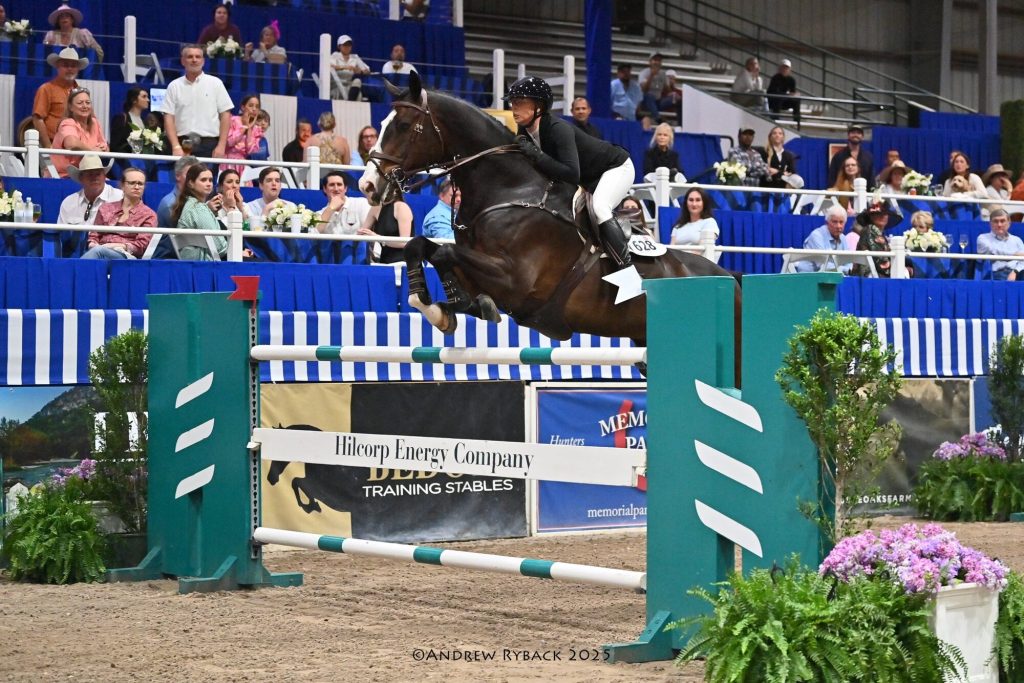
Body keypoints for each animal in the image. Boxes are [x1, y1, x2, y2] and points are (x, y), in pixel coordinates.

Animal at [359, 72, 741, 366]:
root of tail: (732, 278)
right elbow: (421, 246)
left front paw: (448, 306)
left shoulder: (515, 278)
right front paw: (440, 306)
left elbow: (443, 252)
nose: (368, 185)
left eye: (404, 125)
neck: (510, 189)